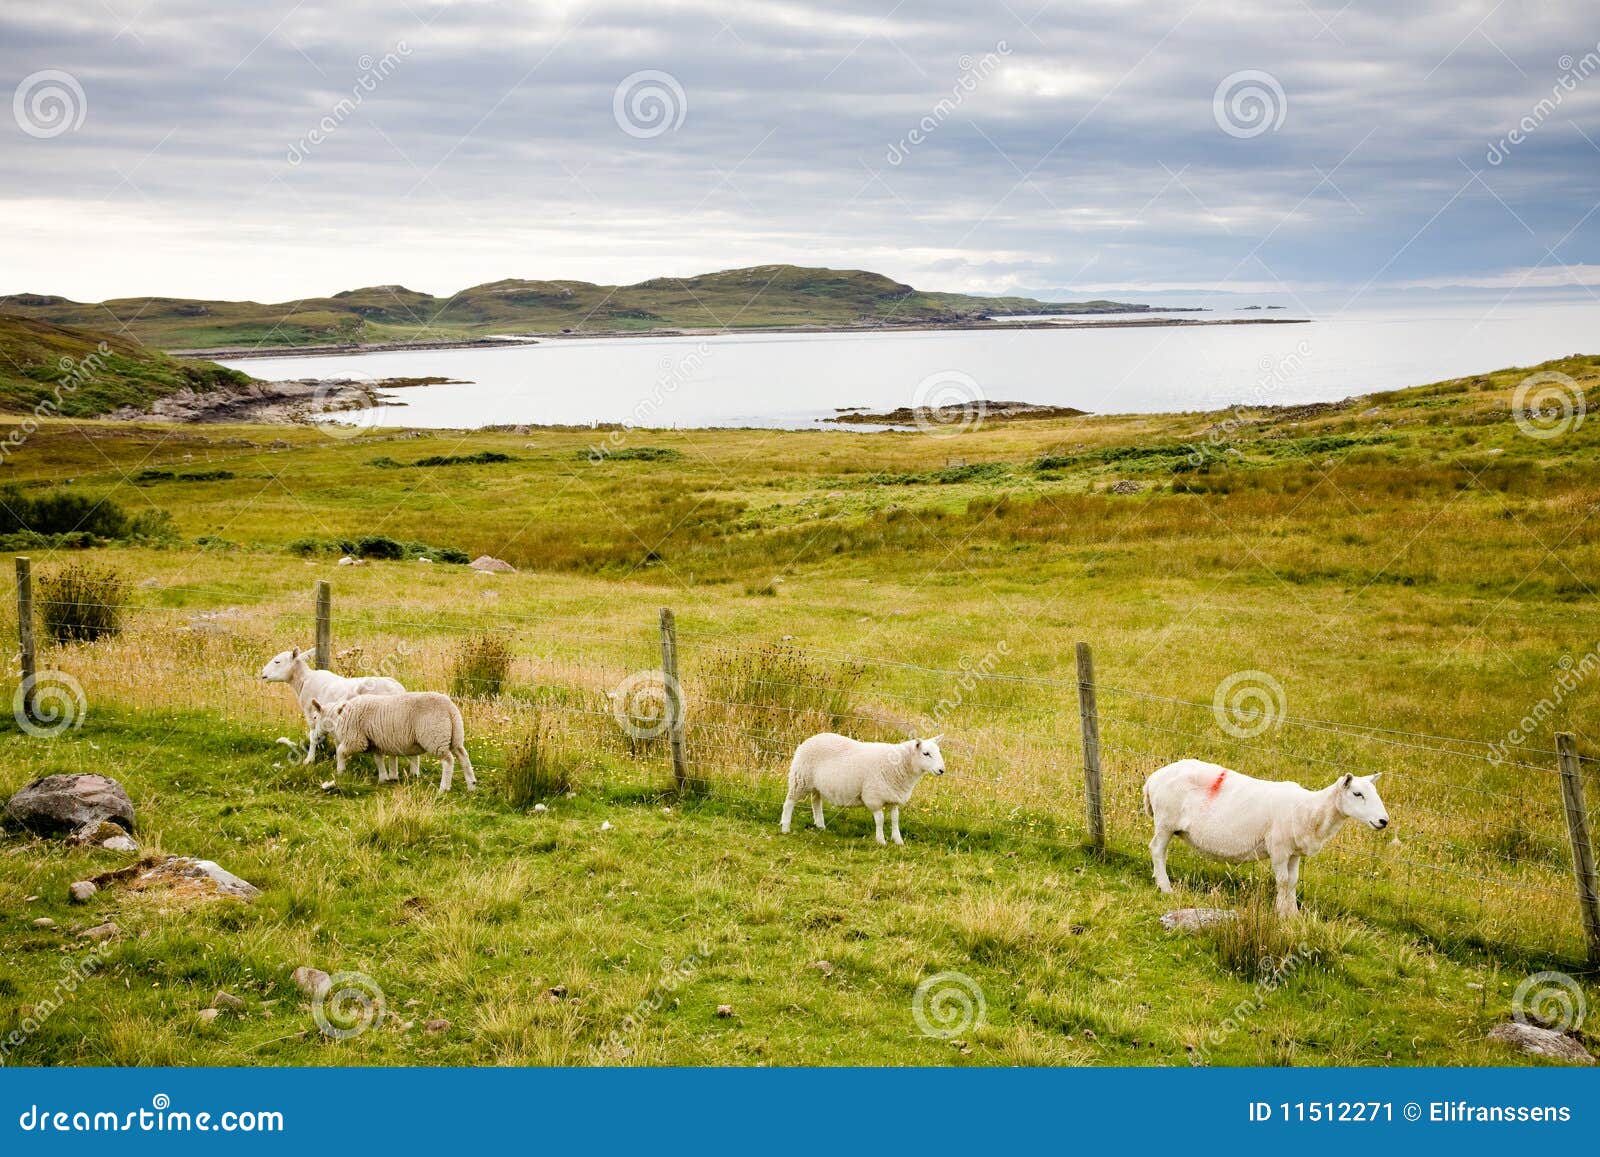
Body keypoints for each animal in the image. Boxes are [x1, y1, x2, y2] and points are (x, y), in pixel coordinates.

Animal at [259, 646, 407, 778]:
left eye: (277, 662)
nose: (262, 674)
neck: (303, 681)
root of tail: (398, 688)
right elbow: (336, 740)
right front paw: (338, 759)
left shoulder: (312, 715)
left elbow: (313, 738)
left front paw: (309, 760)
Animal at [309, 691, 476, 793]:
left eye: (315, 717)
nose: (314, 736)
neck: (339, 718)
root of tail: (450, 707)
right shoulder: (375, 743)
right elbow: (379, 760)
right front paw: (384, 778)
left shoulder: (356, 739)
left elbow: (340, 752)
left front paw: (340, 771)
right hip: (455, 736)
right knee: (463, 756)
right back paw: (471, 784)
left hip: (435, 737)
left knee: (448, 761)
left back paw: (444, 788)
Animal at [780, 733, 945, 845]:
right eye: (926, 753)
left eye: (939, 752)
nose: (942, 770)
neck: (901, 765)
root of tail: (810, 739)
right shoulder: (874, 797)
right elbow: (880, 819)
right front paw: (881, 840)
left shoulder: (893, 797)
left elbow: (895, 819)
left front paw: (898, 840)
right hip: (800, 778)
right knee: (789, 802)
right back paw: (785, 827)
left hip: (816, 784)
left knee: (816, 800)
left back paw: (820, 825)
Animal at [1142, 758, 1389, 917]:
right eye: (1357, 794)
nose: (1383, 821)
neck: (1309, 810)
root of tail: (1153, 778)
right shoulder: (1278, 848)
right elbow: (1282, 881)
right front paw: (1281, 912)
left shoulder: (1294, 853)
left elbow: (1293, 881)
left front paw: (1293, 914)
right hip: (1166, 821)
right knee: (1157, 849)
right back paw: (1165, 887)